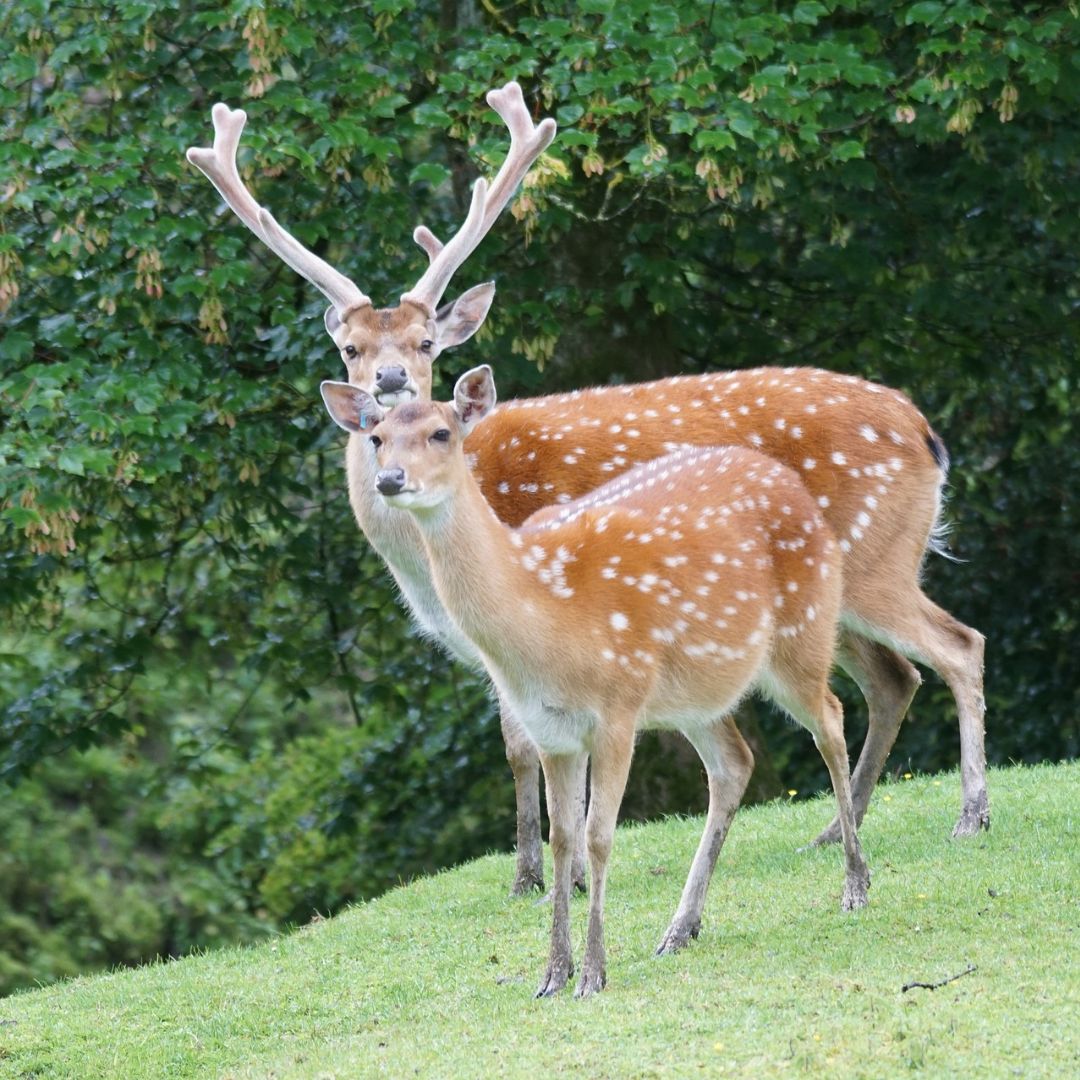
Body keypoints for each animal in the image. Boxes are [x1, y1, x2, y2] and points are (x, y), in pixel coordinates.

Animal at [187, 82, 987, 898]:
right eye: (350, 348)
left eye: (426, 343)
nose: (389, 382)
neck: (425, 566)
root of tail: (926, 432)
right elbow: (521, 745)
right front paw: (532, 874)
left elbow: (528, 747)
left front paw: (547, 877)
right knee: (893, 678)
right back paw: (832, 830)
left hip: (874, 558)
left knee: (959, 645)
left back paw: (970, 814)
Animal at [319, 364, 870, 997]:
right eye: (377, 438)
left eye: (441, 432)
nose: (389, 479)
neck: (543, 615)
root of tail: (793, 488)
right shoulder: (552, 730)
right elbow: (562, 839)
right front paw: (551, 974)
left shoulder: (617, 708)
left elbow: (599, 836)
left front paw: (593, 973)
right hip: (696, 694)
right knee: (735, 763)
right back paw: (680, 929)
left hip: (802, 634)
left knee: (831, 718)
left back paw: (855, 885)